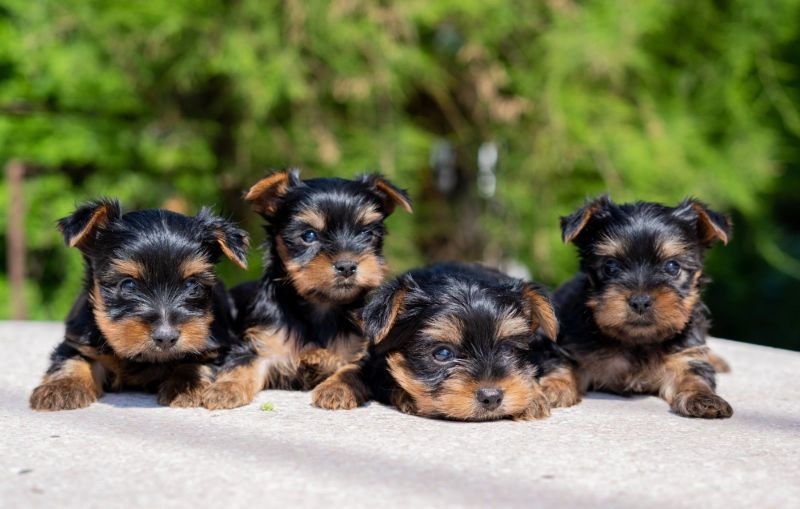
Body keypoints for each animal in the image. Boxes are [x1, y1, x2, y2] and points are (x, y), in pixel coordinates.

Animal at [28, 198, 247, 408]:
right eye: (128, 284)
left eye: (192, 285)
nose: (166, 337)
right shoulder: (78, 338)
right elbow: (72, 358)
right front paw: (62, 386)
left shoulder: (219, 344)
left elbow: (199, 361)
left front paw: (185, 386)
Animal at [200, 170, 412, 408]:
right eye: (309, 235)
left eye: (367, 234)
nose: (347, 266)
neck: (320, 305)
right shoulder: (261, 344)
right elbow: (241, 364)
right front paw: (224, 388)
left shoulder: (360, 351)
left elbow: (352, 370)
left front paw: (337, 388)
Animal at [310, 262, 580, 420]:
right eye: (442, 354)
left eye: (507, 348)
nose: (491, 396)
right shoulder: (373, 352)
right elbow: (354, 367)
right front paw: (336, 388)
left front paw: (532, 398)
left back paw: (556, 387)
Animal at [552, 194, 736, 416]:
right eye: (610, 266)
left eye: (672, 266)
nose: (640, 301)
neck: (638, 342)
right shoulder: (575, 348)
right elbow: (563, 365)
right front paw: (553, 387)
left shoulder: (684, 356)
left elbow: (695, 374)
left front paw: (704, 398)